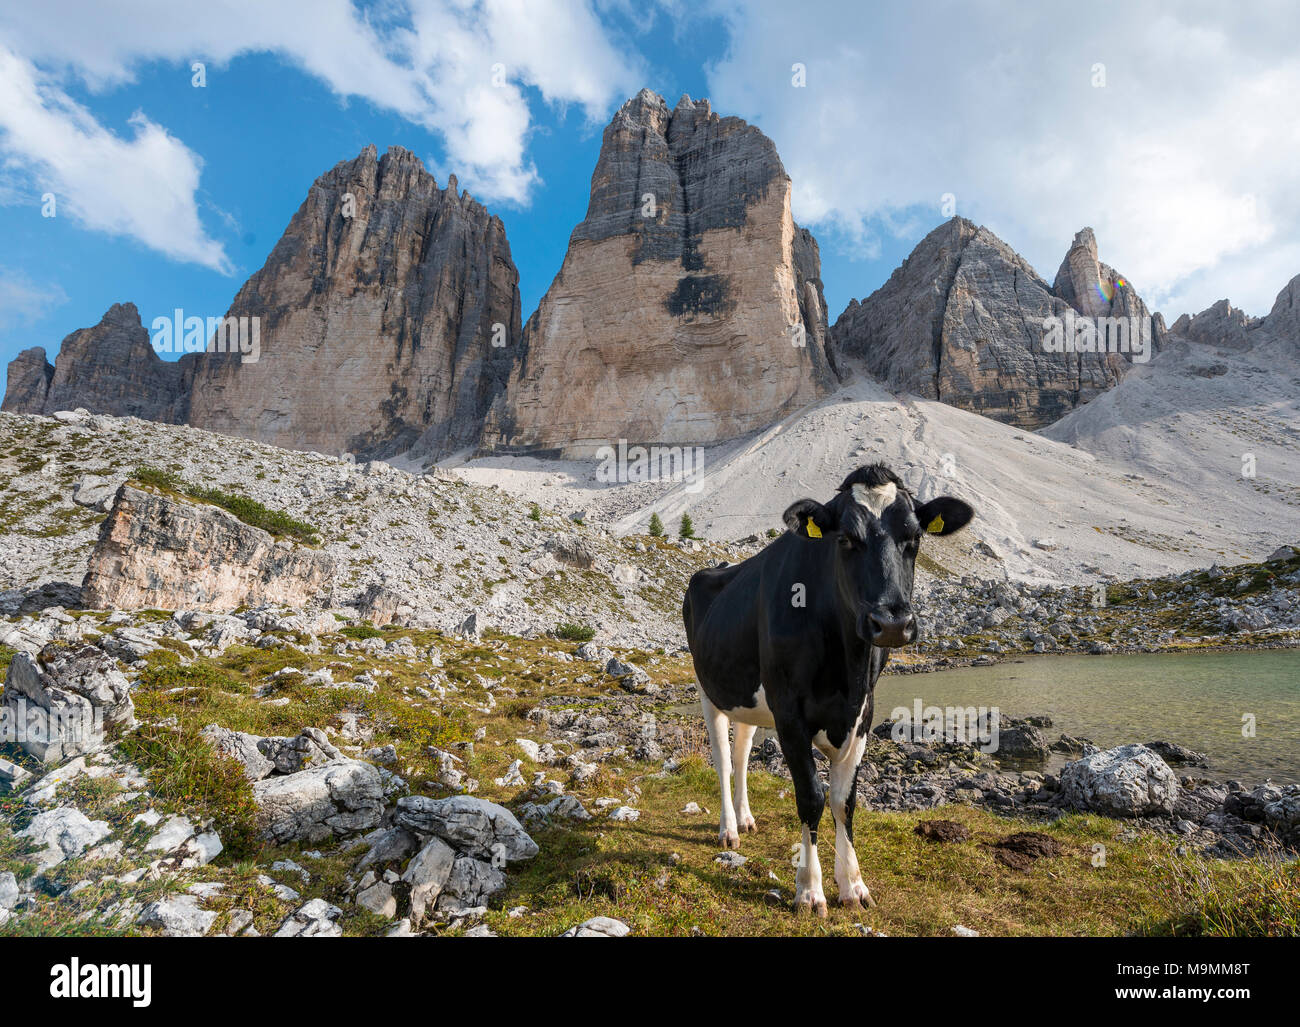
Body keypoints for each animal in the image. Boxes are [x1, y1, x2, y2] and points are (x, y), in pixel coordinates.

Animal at [682, 463, 974, 915]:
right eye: (845, 538)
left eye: (914, 538)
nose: (892, 623)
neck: (844, 666)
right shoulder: (789, 711)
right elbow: (811, 797)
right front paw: (809, 889)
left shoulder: (863, 711)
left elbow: (844, 801)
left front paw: (852, 884)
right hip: (707, 690)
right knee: (722, 758)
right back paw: (728, 829)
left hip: (749, 698)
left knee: (743, 752)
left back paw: (746, 819)